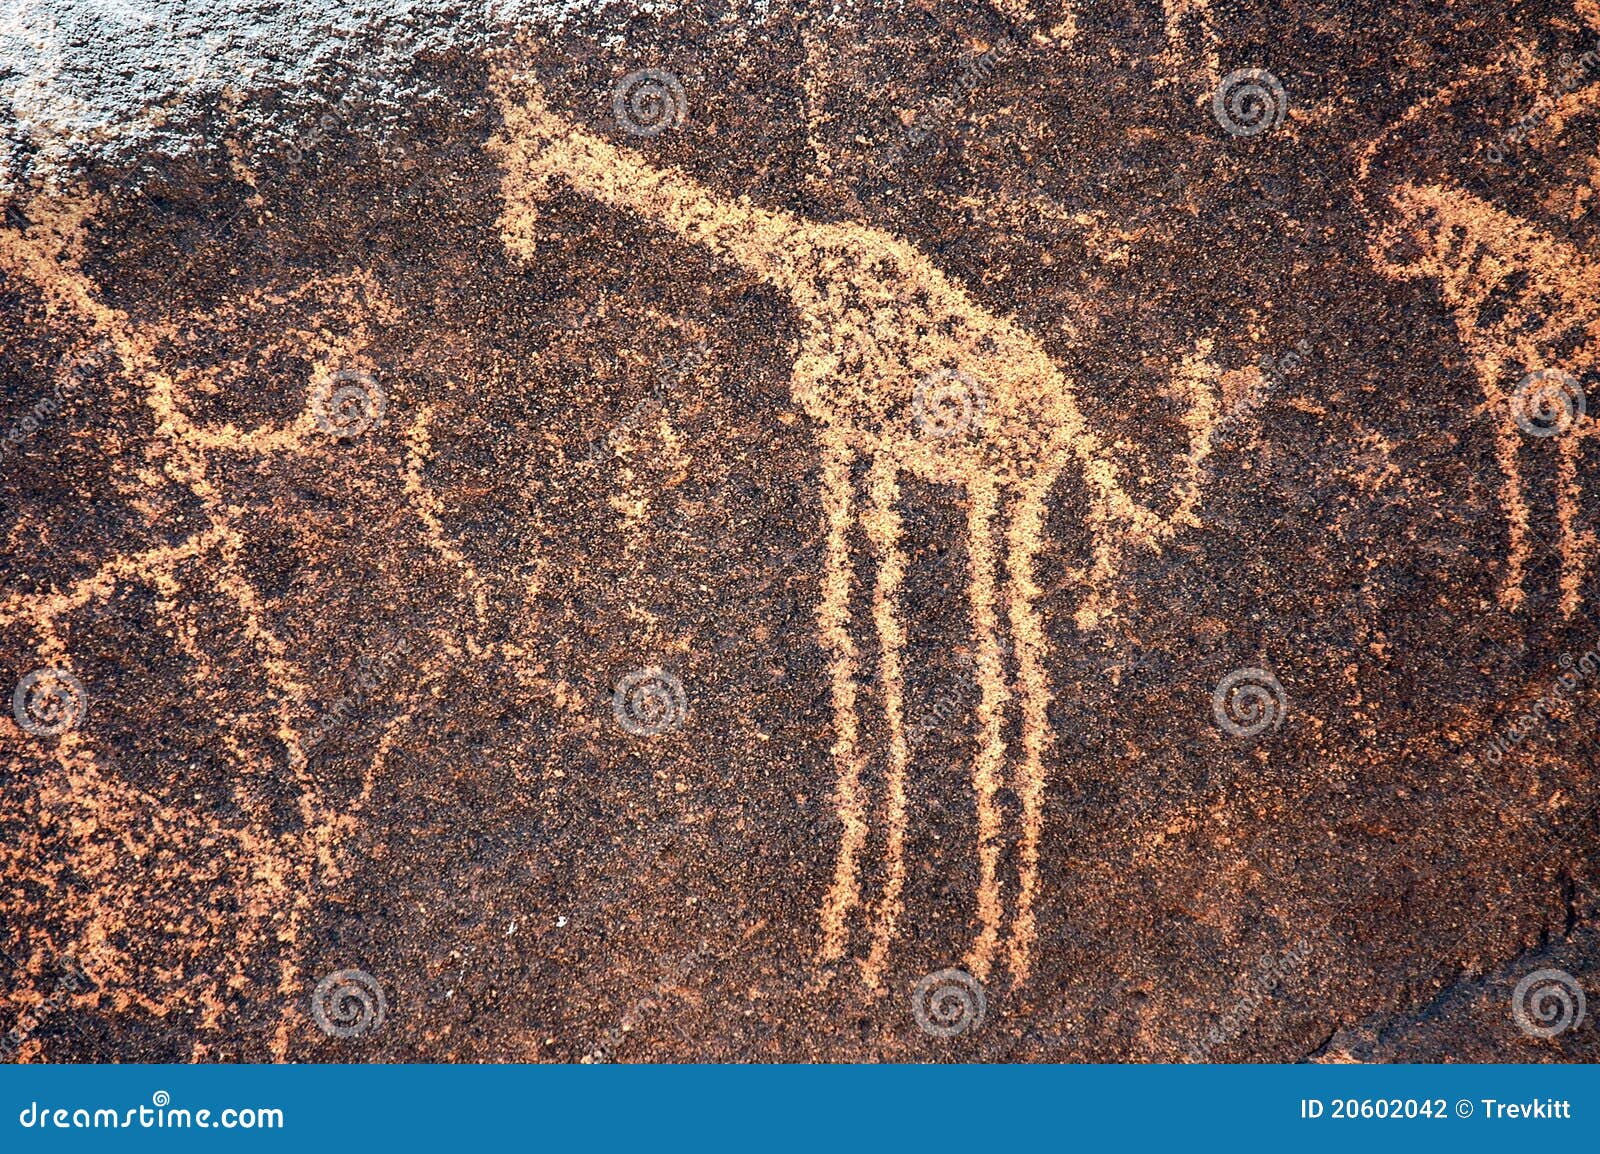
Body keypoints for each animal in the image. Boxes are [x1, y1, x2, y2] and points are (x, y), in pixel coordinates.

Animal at [489, 68, 1241, 990]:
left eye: (516, 161)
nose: (515, 246)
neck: (803, 267)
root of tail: (1071, 425)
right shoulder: (856, 443)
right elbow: (868, 647)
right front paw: (863, 933)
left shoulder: (851, 432)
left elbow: (867, 650)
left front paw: (863, 937)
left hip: (1002, 494)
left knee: (1011, 671)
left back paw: (995, 946)